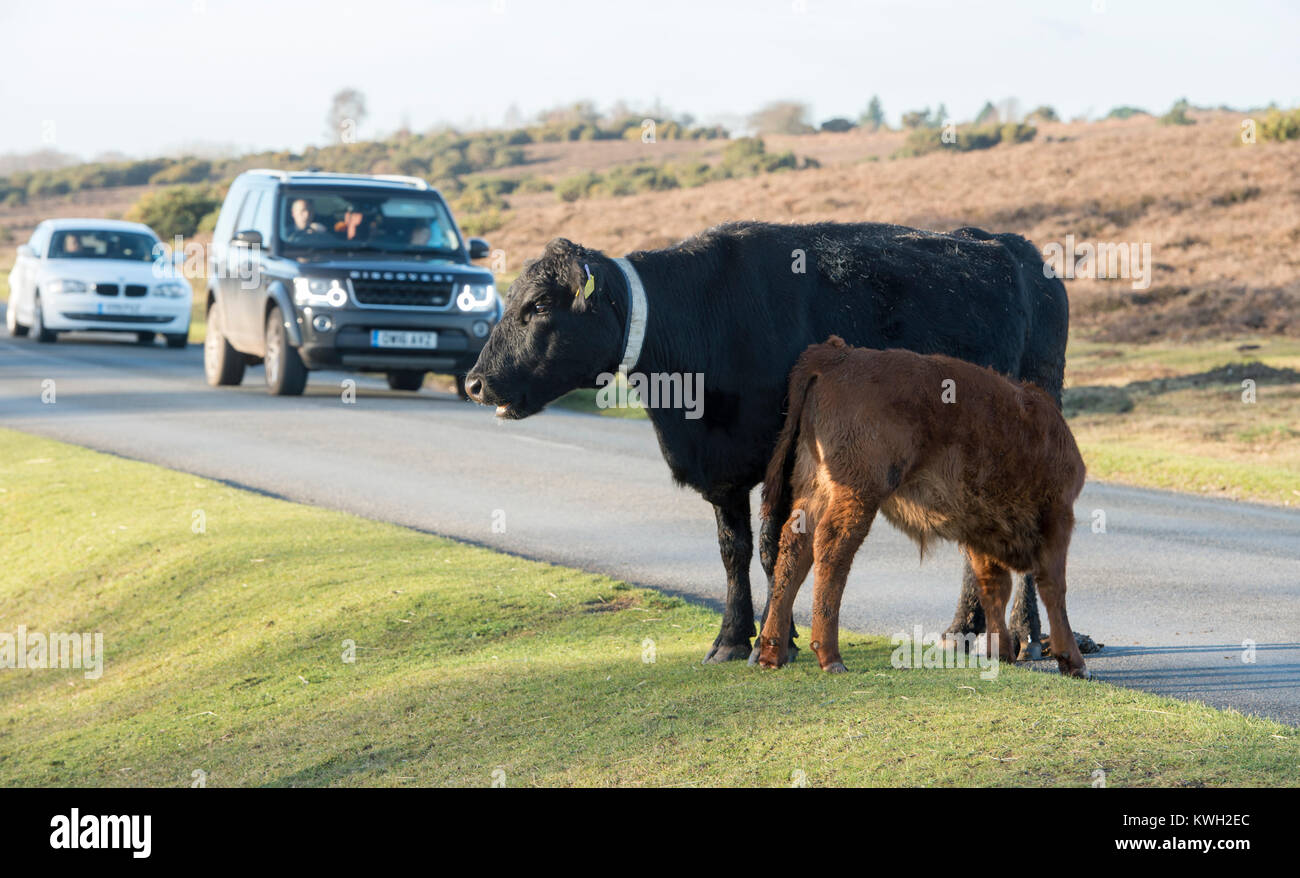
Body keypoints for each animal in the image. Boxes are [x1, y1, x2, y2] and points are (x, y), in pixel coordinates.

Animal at [756, 337, 1088, 678]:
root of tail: (836, 356)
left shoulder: (978, 527)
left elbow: (994, 586)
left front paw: (1001, 653)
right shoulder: (1058, 513)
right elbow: (1052, 586)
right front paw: (1073, 661)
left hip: (814, 487)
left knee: (794, 548)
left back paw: (771, 652)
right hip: (858, 491)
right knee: (832, 548)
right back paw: (830, 657)